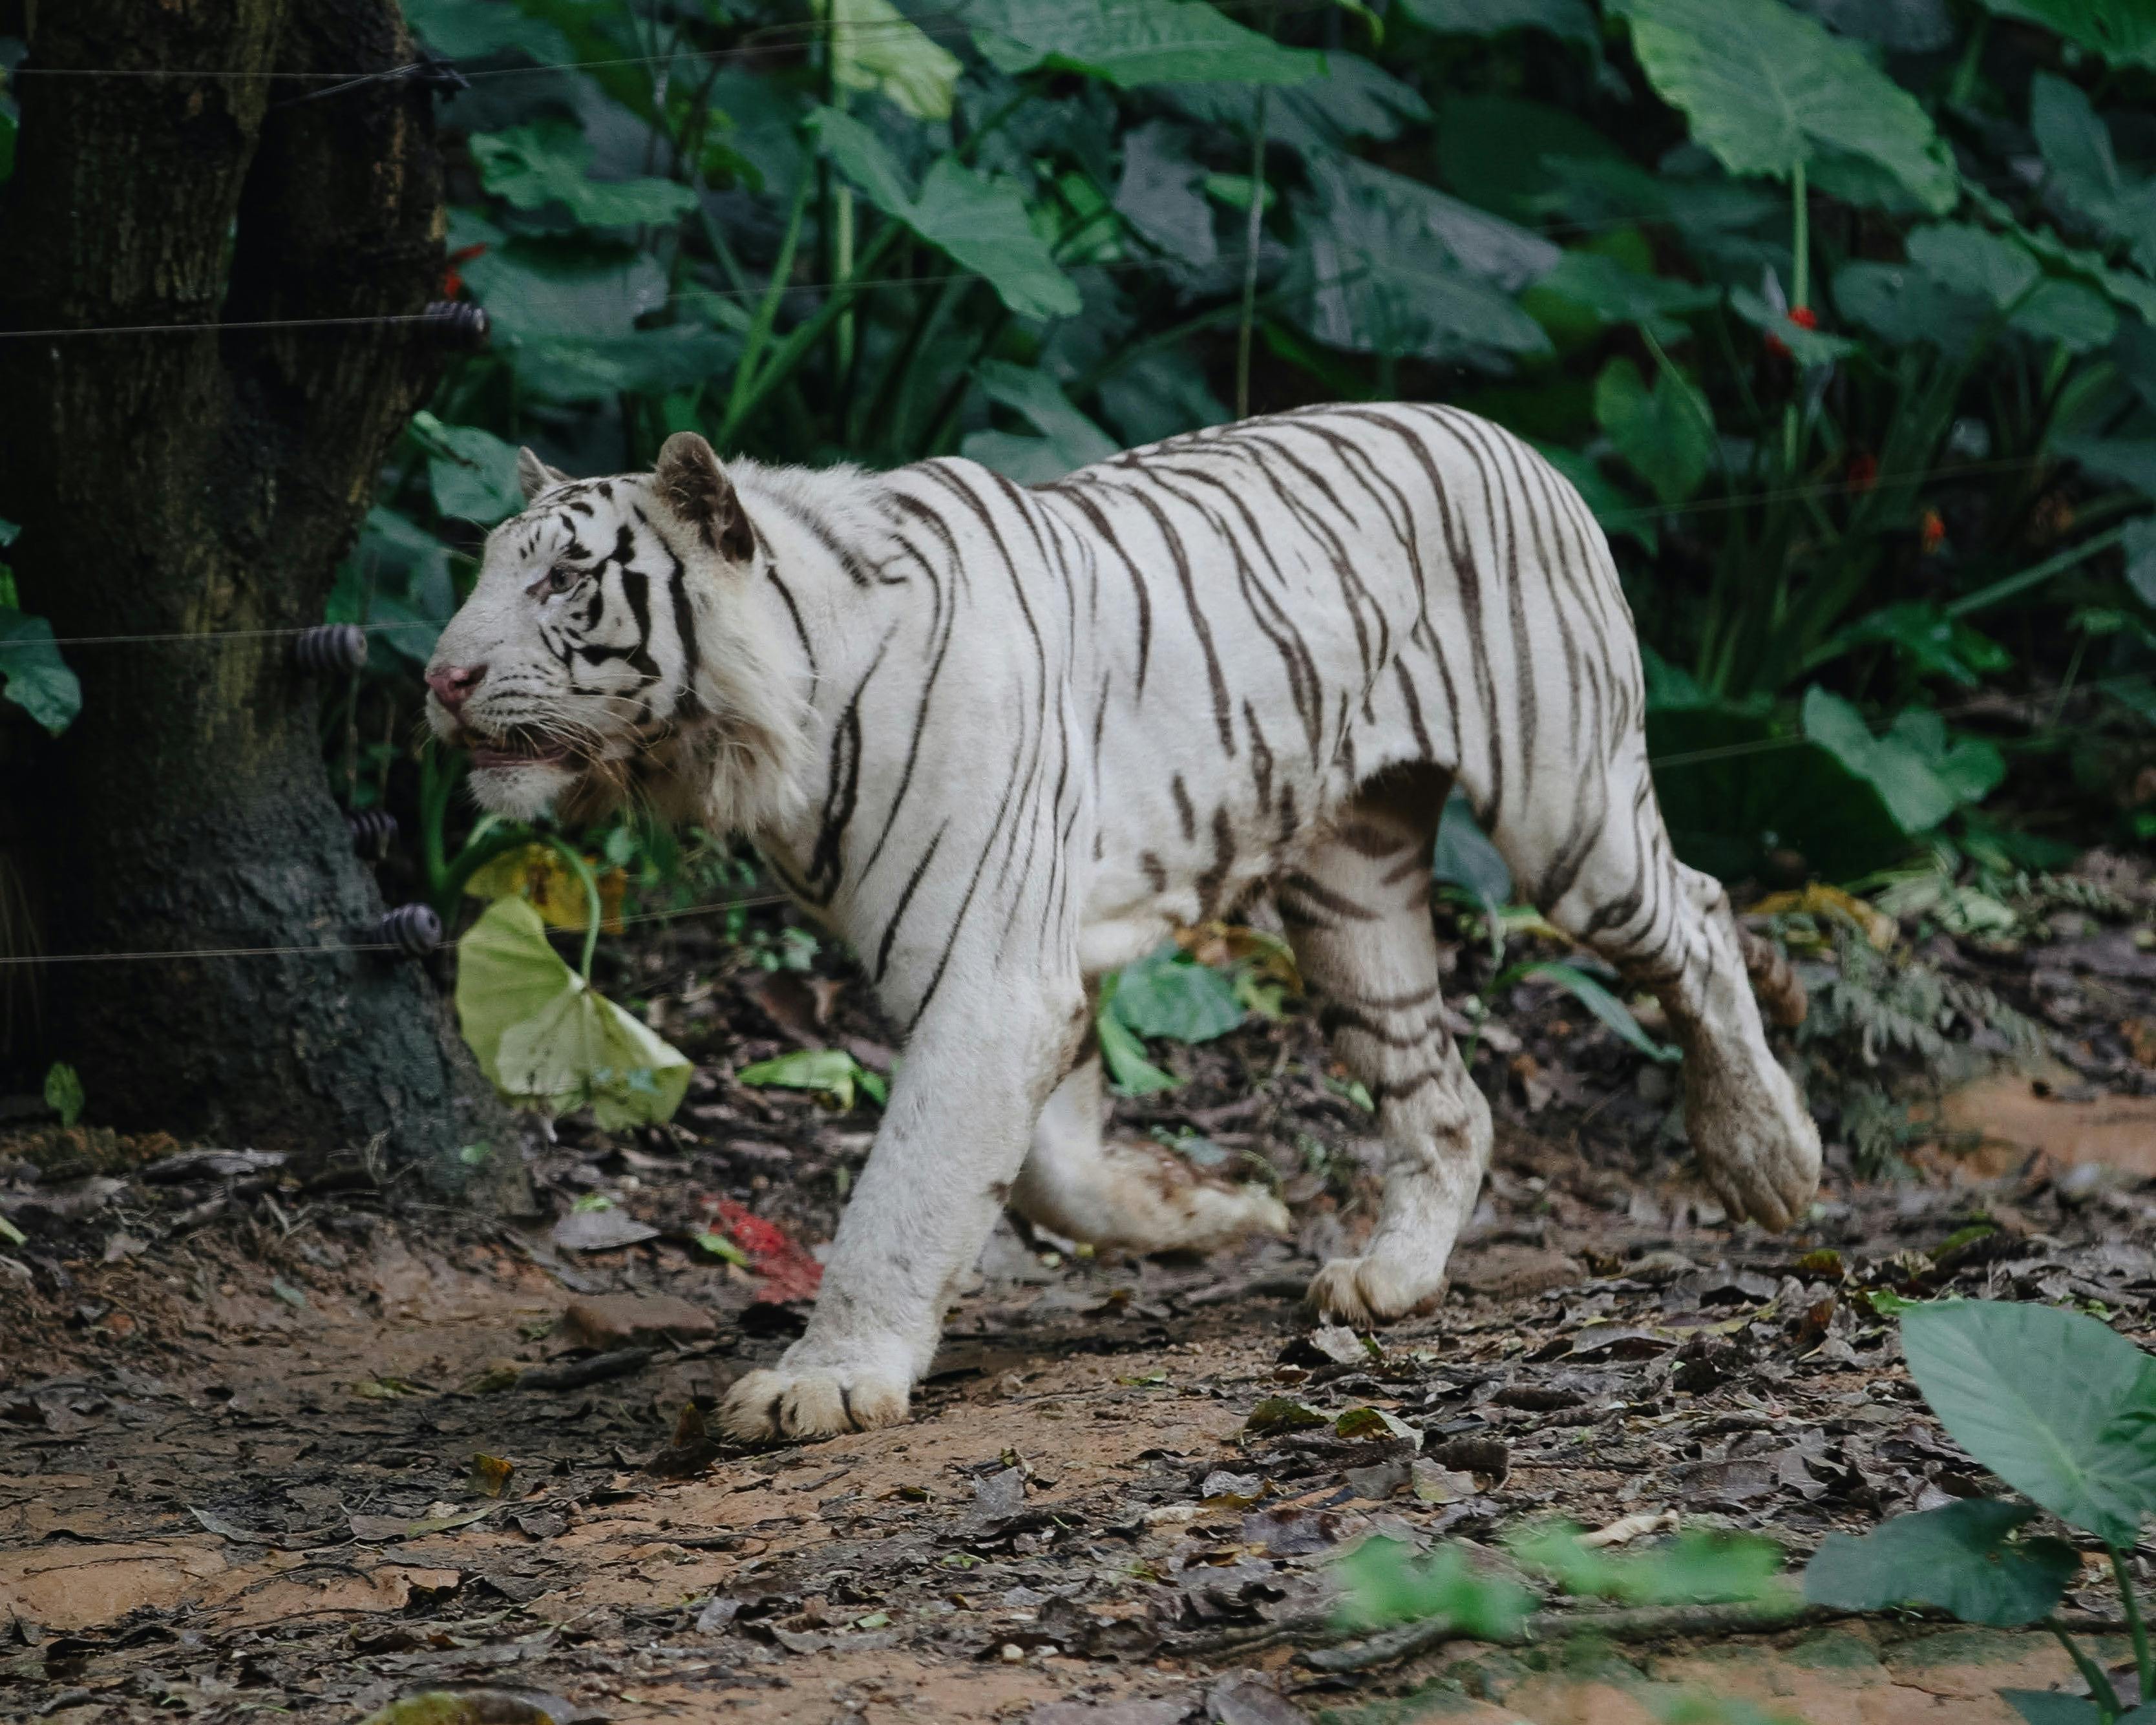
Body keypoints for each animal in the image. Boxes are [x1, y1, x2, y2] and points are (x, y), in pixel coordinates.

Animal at [424, 404, 1822, 1442]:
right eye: (492, 566)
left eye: (564, 578)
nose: (437, 677)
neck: (768, 730)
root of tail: (1507, 434)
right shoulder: (1027, 958)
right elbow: (1050, 1163)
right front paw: (1210, 1206)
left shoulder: (992, 969)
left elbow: (903, 1189)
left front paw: (823, 1377)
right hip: (1352, 894)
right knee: (1448, 1095)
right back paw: (1390, 1275)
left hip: (1566, 817)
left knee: (1701, 914)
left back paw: (1772, 1156)